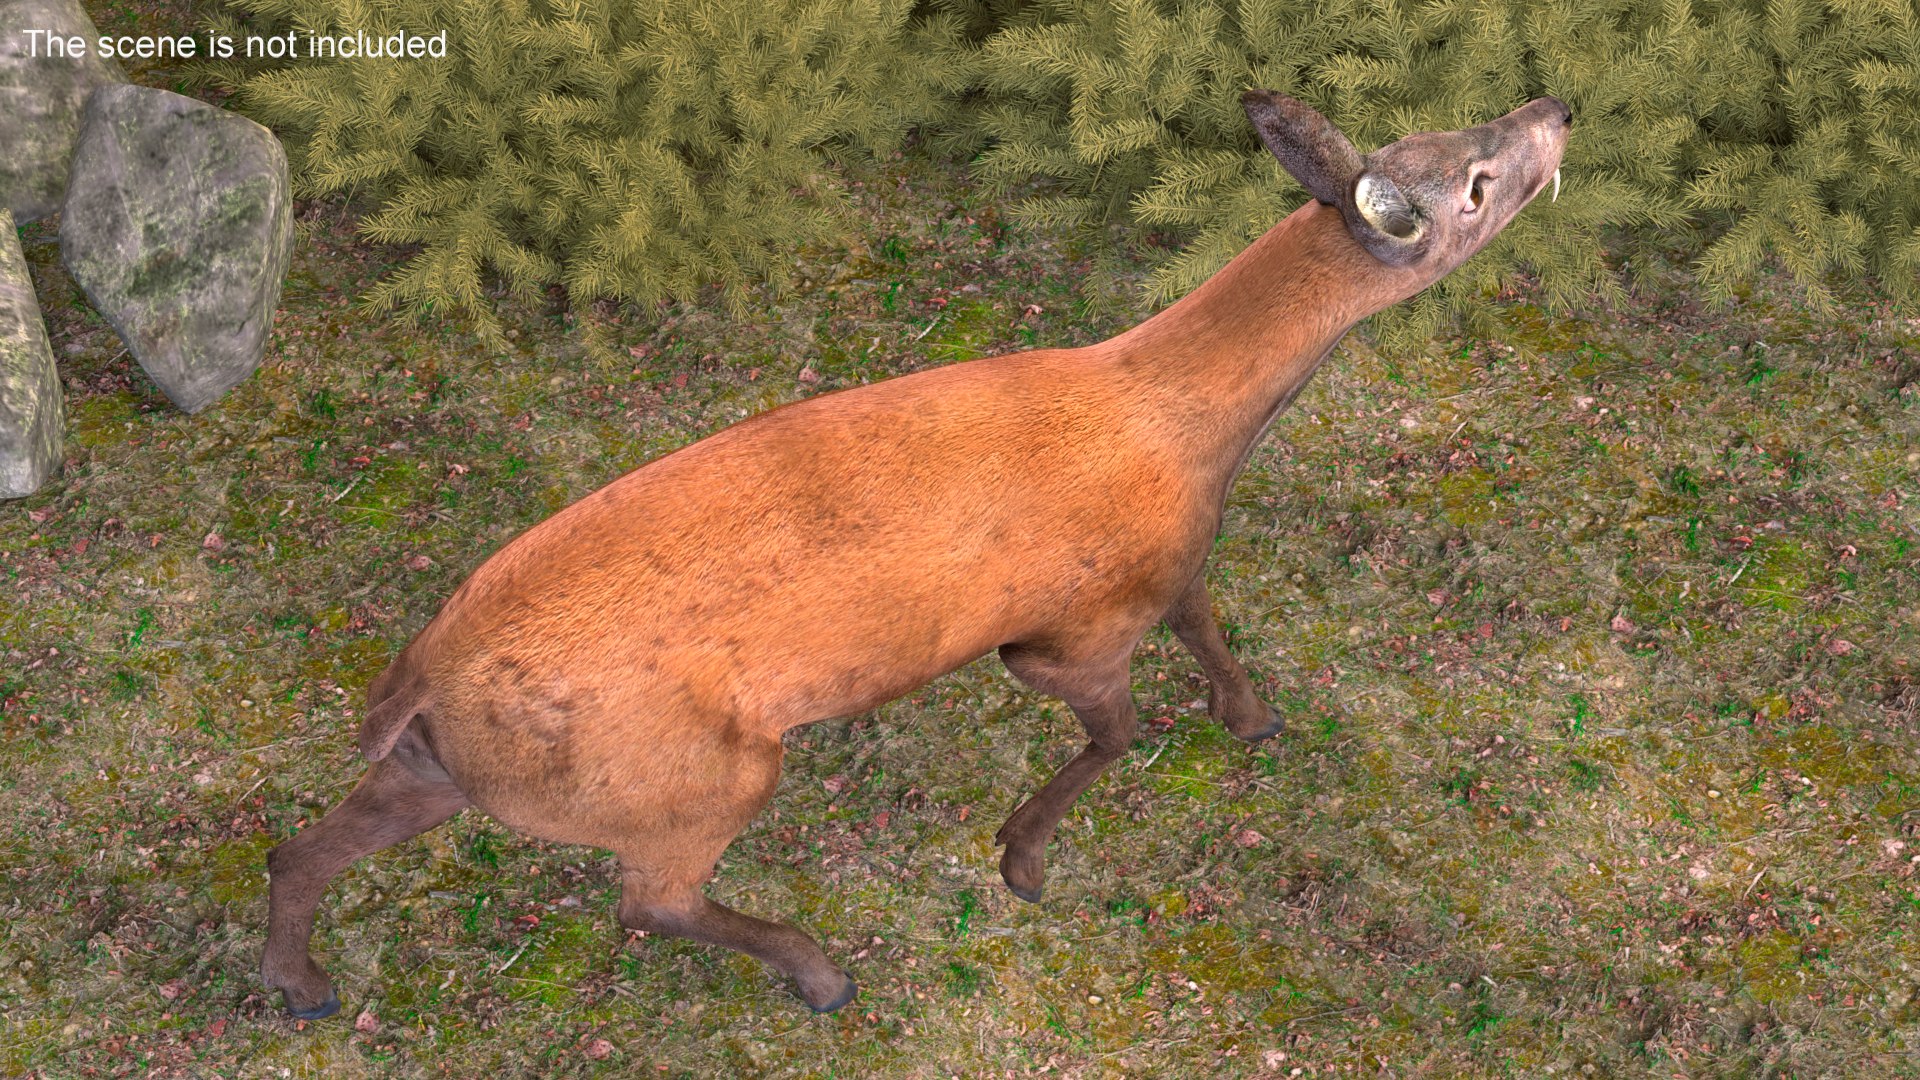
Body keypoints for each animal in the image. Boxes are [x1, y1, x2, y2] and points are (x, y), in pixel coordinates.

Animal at [261, 90, 1570, 1019]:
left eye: (1456, 130)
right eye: (1475, 184)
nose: (1554, 107)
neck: (1179, 418)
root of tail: (419, 675)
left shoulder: (1166, 562)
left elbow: (1205, 619)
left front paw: (1251, 721)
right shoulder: (1065, 635)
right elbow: (1119, 732)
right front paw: (1023, 862)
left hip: (452, 769)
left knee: (304, 844)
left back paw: (303, 989)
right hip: (695, 775)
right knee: (646, 901)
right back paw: (821, 975)